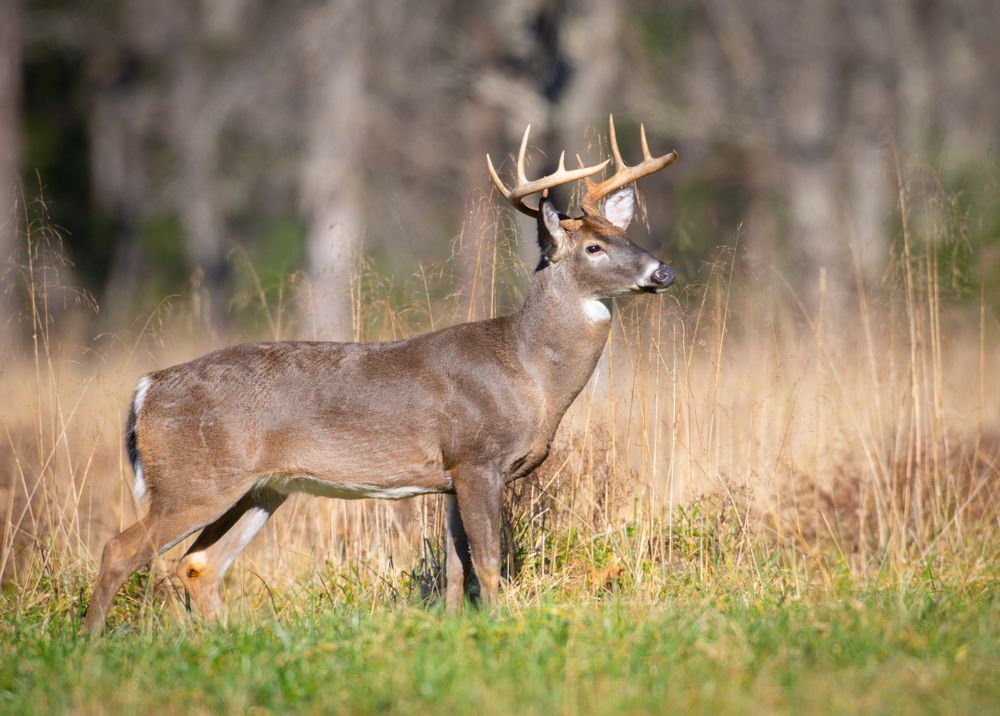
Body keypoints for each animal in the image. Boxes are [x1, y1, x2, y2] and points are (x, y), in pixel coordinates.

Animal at [83, 115, 678, 634]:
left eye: (629, 237)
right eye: (593, 247)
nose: (663, 271)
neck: (528, 372)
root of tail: (146, 389)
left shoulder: (449, 476)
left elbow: (456, 568)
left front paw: (456, 631)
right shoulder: (477, 457)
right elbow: (488, 562)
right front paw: (503, 628)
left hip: (260, 487)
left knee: (200, 564)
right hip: (194, 479)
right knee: (121, 550)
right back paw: (90, 645)